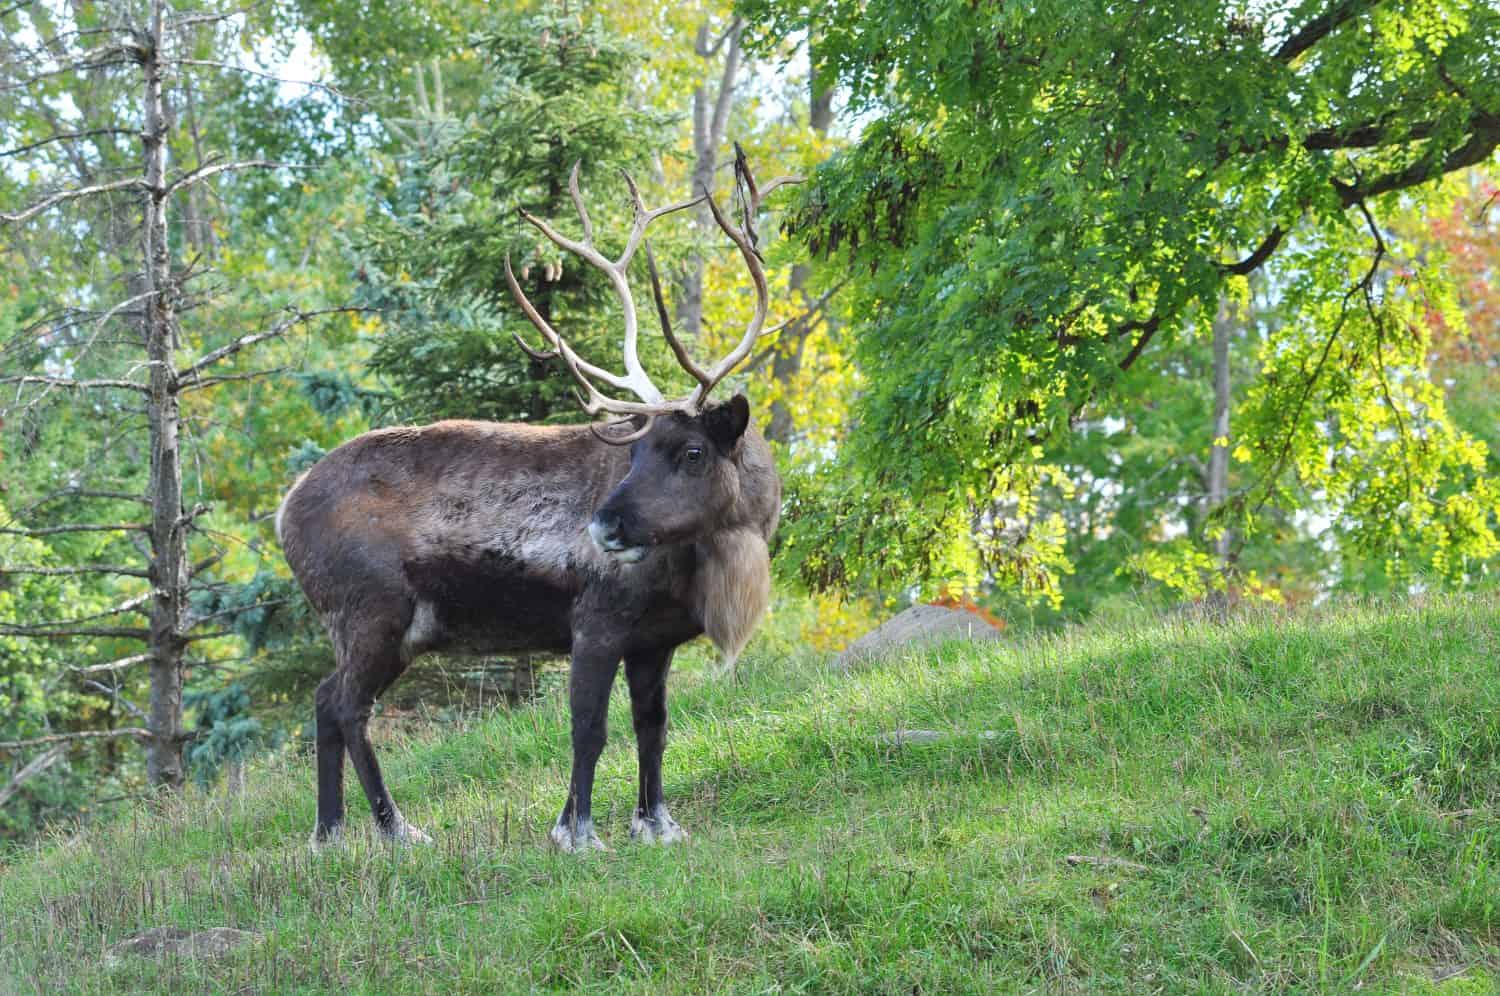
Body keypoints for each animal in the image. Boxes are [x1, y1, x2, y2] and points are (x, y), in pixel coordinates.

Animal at [277, 154, 799, 851]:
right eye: (635, 451)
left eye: (691, 451)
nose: (603, 525)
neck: (712, 563)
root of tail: (283, 511)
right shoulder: (596, 622)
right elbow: (589, 729)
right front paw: (574, 831)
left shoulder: (653, 641)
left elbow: (653, 728)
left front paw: (657, 823)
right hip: (371, 614)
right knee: (346, 705)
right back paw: (395, 829)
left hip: (390, 630)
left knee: (323, 699)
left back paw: (330, 832)